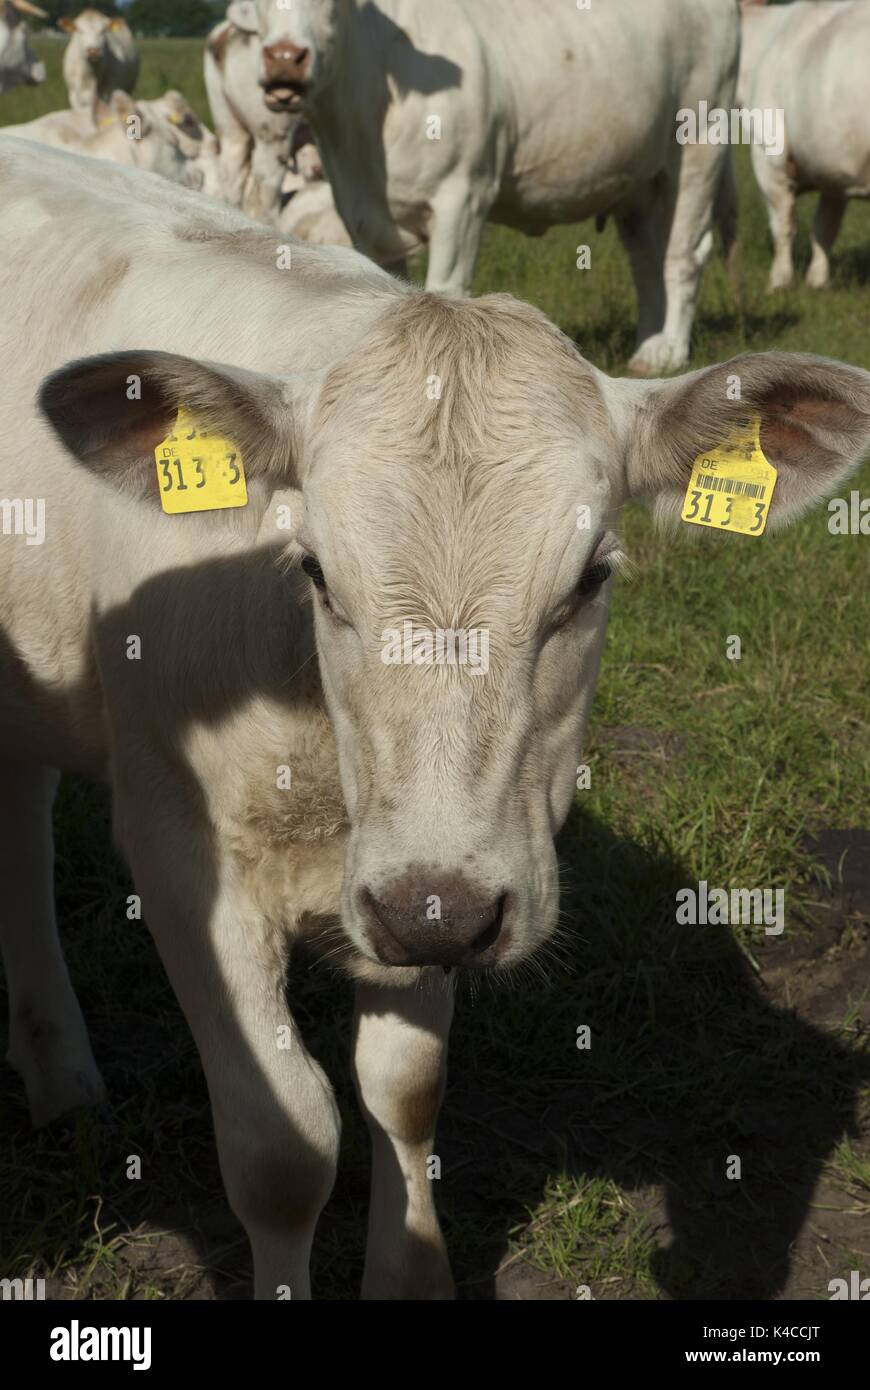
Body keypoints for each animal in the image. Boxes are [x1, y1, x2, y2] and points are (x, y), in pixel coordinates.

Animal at [2, 140, 869, 1299]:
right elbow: (284, 1146)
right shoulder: (186, 852)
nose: (437, 910)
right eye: (314, 570)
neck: (324, 774)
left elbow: (405, 1090)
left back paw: (60, 1074)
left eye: (591, 579)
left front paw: (411, 1272)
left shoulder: (439, 873)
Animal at [244, 0, 739, 375]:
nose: (284, 56)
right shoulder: (360, 213)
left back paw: (670, 351)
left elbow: (444, 292)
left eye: (333, 2)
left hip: (701, 139)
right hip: (638, 175)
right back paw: (647, 348)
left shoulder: (462, 196)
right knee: (646, 259)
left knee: (684, 254)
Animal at [736, 0, 870, 290]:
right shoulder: (834, 165)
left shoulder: (768, 156)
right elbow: (824, 227)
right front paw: (817, 281)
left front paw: (779, 282)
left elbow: (783, 224)